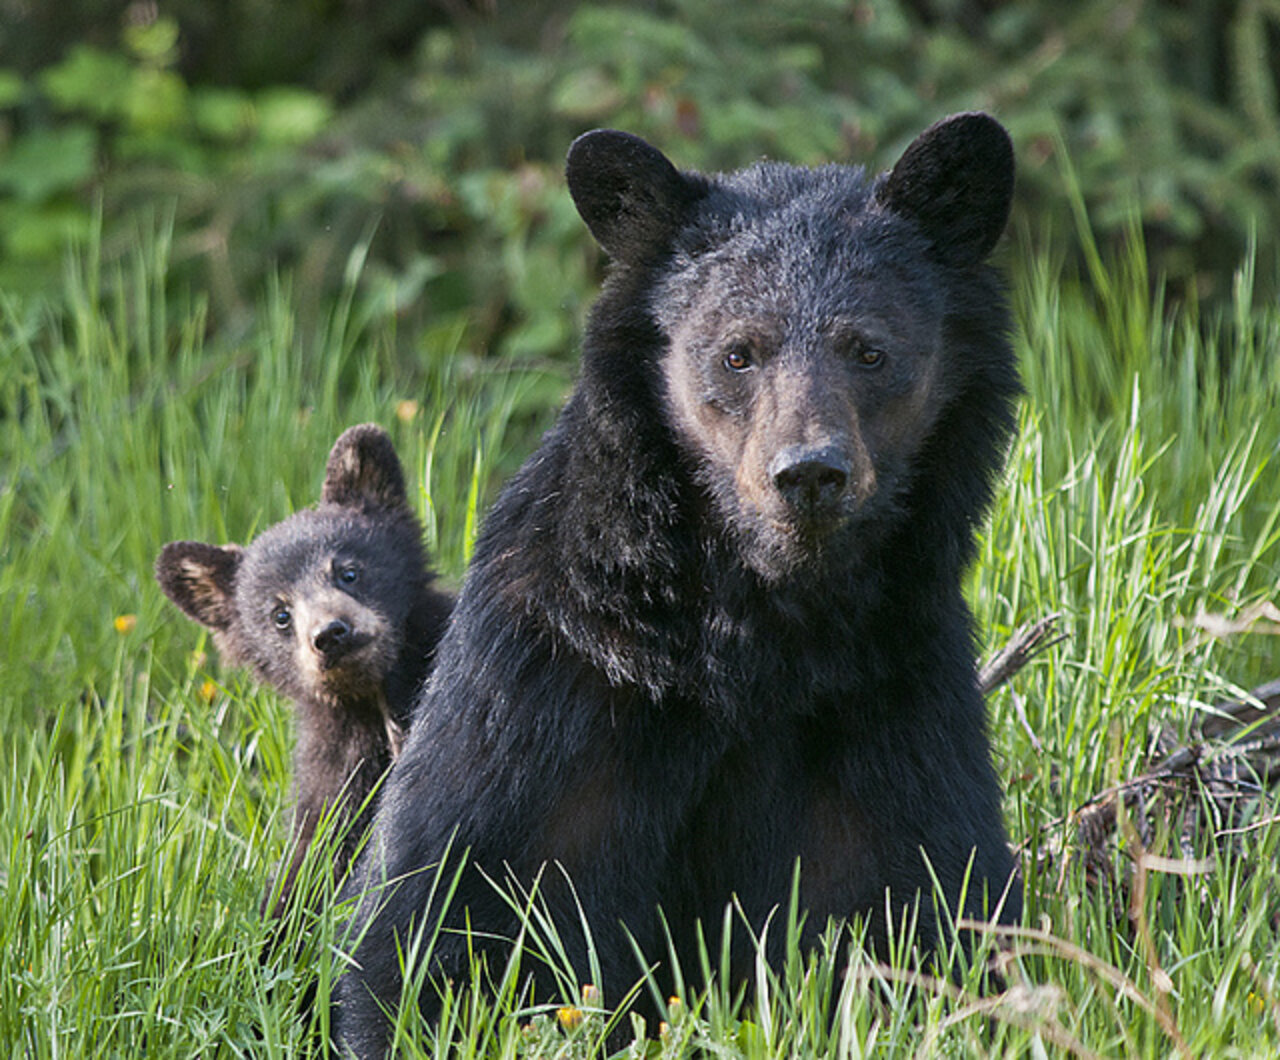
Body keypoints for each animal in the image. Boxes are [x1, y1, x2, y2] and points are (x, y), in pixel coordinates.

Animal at [156, 423, 454, 915]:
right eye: (280, 614)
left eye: (348, 572)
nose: (331, 634)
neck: (377, 698)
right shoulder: (338, 757)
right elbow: (318, 845)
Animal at [334, 113, 1022, 1056]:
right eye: (737, 353)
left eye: (869, 350)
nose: (809, 475)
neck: (756, 631)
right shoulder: (551, 684)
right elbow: (442, 905)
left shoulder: (894, 698)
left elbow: (933, 898)